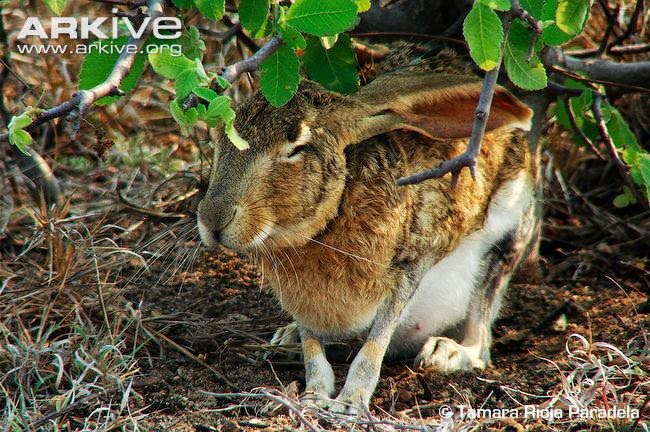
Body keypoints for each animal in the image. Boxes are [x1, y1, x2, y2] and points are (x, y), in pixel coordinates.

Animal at [196, 67, 538, 413]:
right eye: (220, 140)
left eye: (297, 148)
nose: (212, 219)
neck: (329, 224)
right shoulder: (301, 302)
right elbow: (312, 346)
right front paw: (314, 395)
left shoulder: (411, 266)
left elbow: (375, 341)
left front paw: (350, 401)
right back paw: (286, 340)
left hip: (505, 243)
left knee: (481, 334)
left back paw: (447, 353)